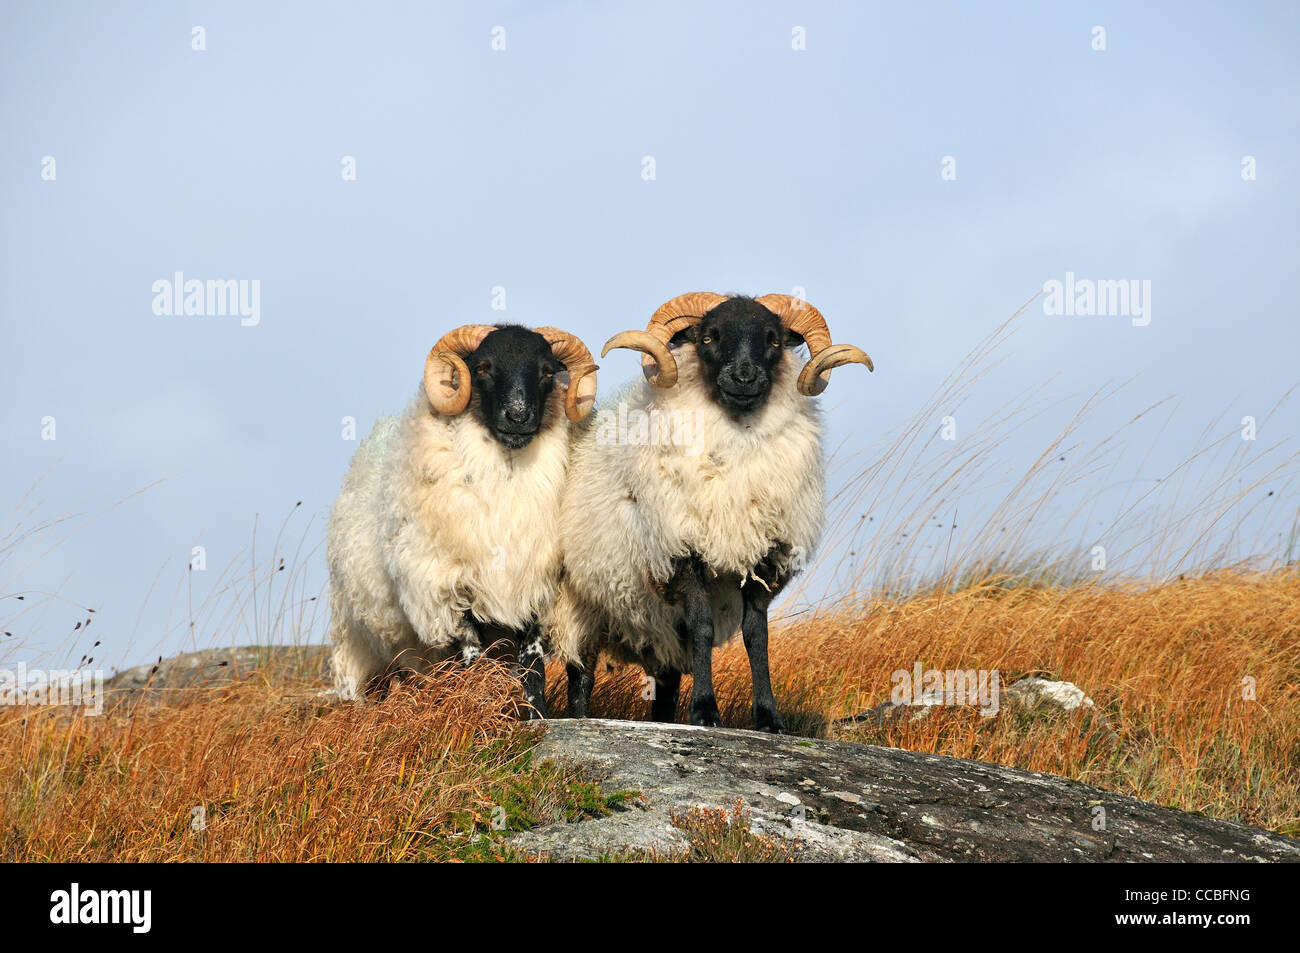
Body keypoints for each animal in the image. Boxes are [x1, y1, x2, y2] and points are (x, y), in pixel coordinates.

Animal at [327, 323, 597, 717]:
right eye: (482, 367)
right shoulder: (450, 588)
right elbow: (472, 656)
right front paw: (477, 705)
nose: (519, 417)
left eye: (548, 372)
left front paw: (535, 714)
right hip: (361, 637)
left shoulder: (537, 585)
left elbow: (532, 663)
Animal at [551, 293, 872, 731]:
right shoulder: (683, 551)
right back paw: (582, 717)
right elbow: (701, 628)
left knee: (665, 683)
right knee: (580, 673)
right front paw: (705, 712)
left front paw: (768, 718)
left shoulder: (763, 558)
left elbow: (757, 636)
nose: (744, 377)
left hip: (658, 628)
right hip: (581, 605)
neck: (737, 439)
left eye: (773, 339)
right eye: (708, 337)